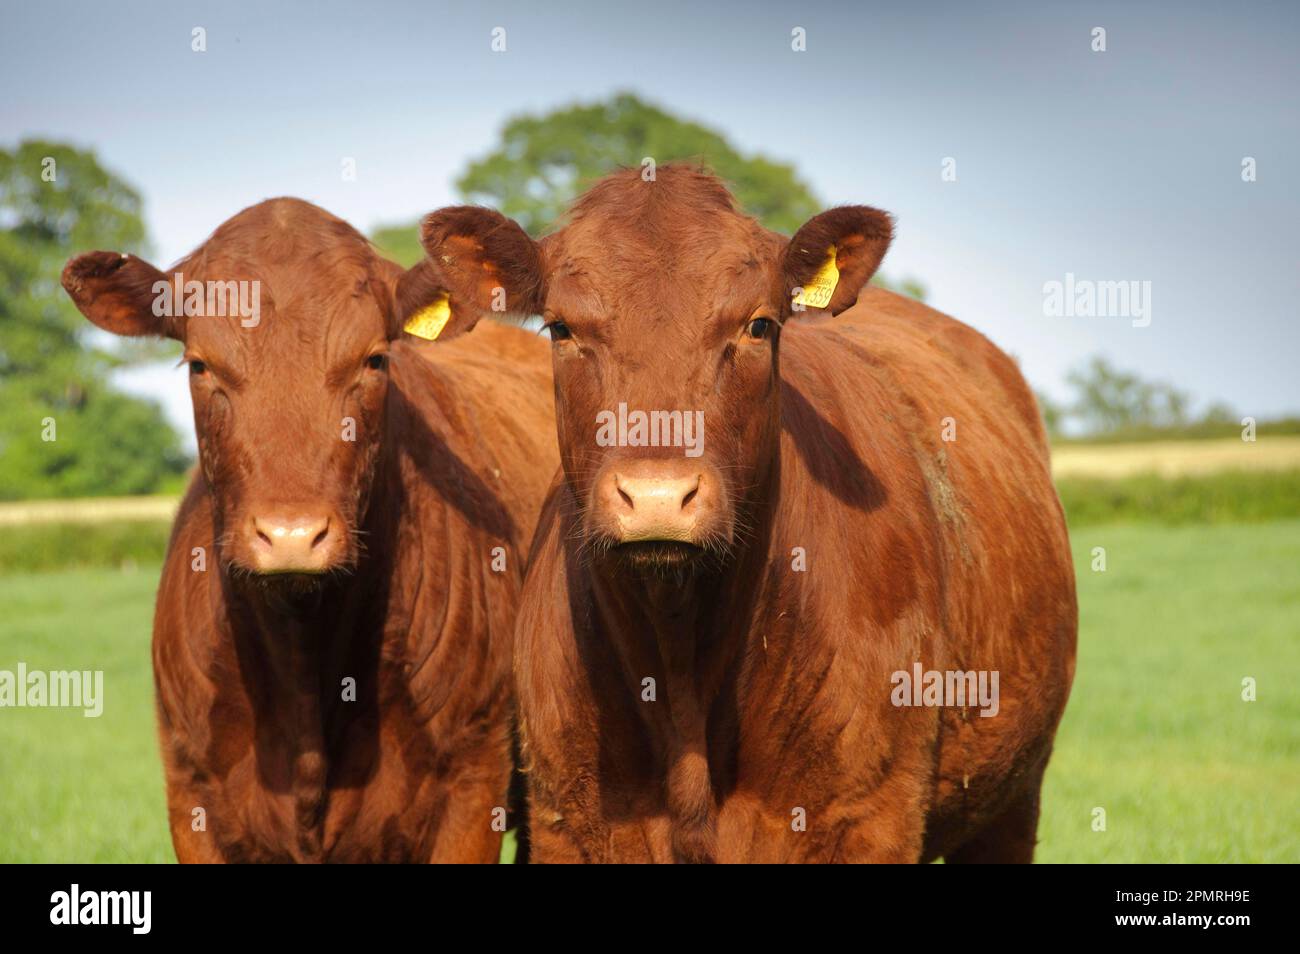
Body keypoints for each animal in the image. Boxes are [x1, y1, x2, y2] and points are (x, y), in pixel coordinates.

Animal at [418, 165, 1078, 863]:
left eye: (759, 326)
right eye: (561, 328)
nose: (657, 498)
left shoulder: (870, 820)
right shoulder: (567, 825)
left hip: (1013, 796)